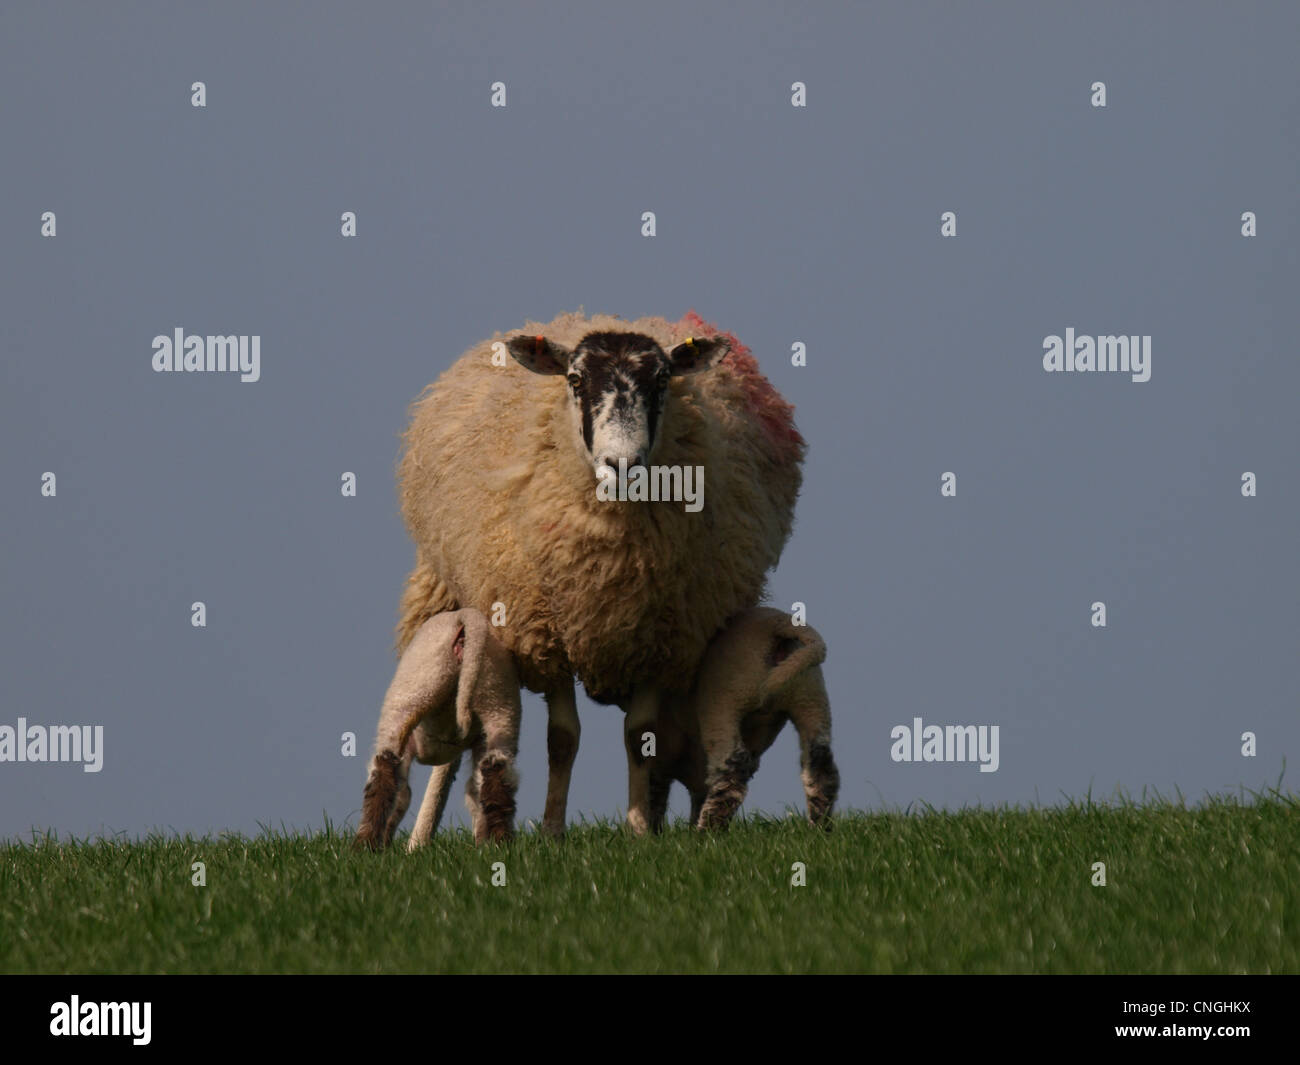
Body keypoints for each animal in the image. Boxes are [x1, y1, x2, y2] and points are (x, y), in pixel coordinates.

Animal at [354, 608, 521, 850]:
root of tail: (464, 617)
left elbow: (401, 793)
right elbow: (474, 794)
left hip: (412, 689)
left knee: (382, 768)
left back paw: (364, 845)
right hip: (498, 697)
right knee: (496, 771)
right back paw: (500, 844)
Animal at [395, 310, 805, 836]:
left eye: (663, 380)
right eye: (575, 379)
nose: (622, 464)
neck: (612, 561)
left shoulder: (663, 639)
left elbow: (641, 736)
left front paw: (640, 831)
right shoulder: (547, 633)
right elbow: (563, 738)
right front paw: (552, 831)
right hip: (455, 598)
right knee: (452, 738)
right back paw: (419, 840)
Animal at [648, 607, 839, 830]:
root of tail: (779, 624)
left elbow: (653, 797)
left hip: (724, 702)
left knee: (732, 769)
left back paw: (706, 832)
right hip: (810, 697)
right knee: (821, 765)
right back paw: (819, 827)